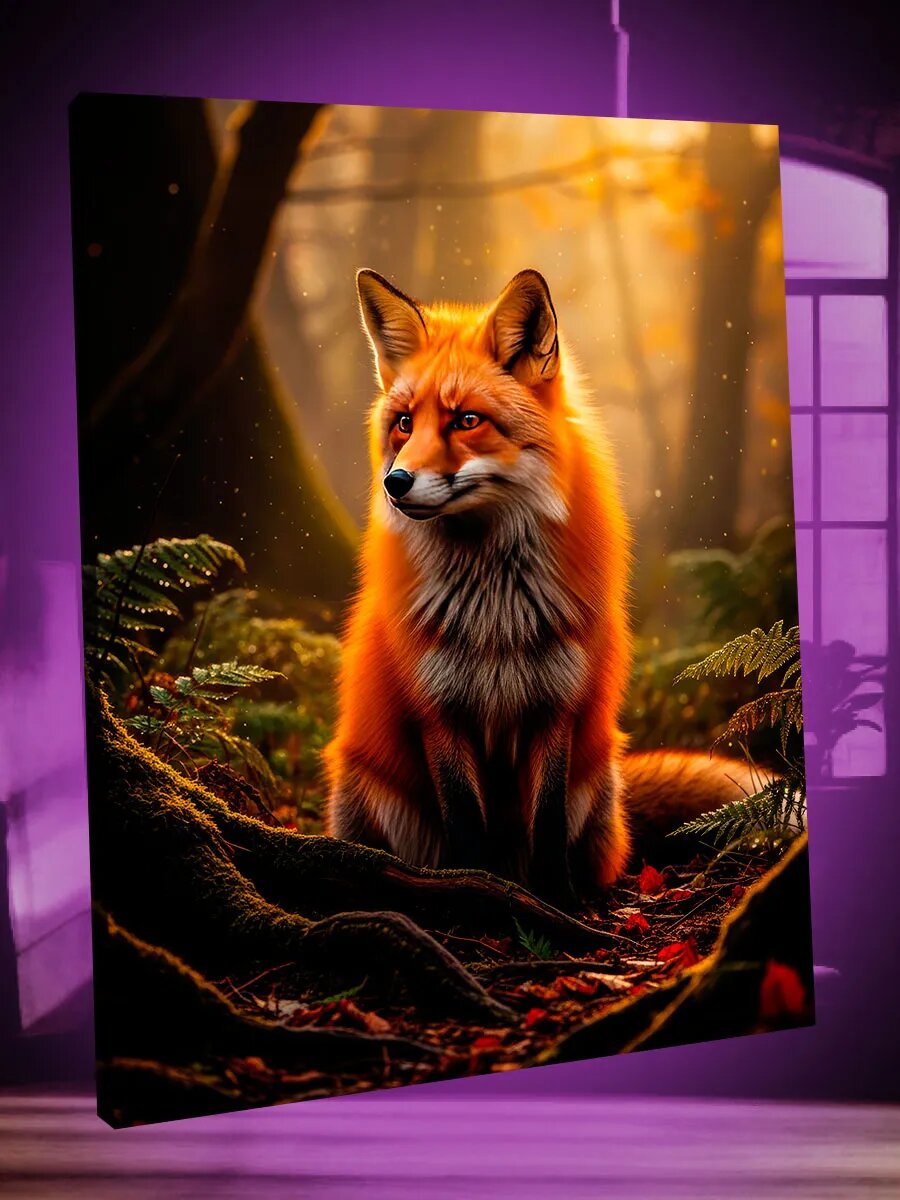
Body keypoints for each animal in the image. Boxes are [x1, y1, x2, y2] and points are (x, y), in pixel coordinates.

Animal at [323, 267, 758, 907]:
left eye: (466, 420)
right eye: (404, 423)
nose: (395, 483)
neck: (495, 609)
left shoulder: (557, 703)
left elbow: (546, 824)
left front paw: (559, 903)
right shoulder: (438, 711)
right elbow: (466, 824)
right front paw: (478, 892)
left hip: (595, 782)